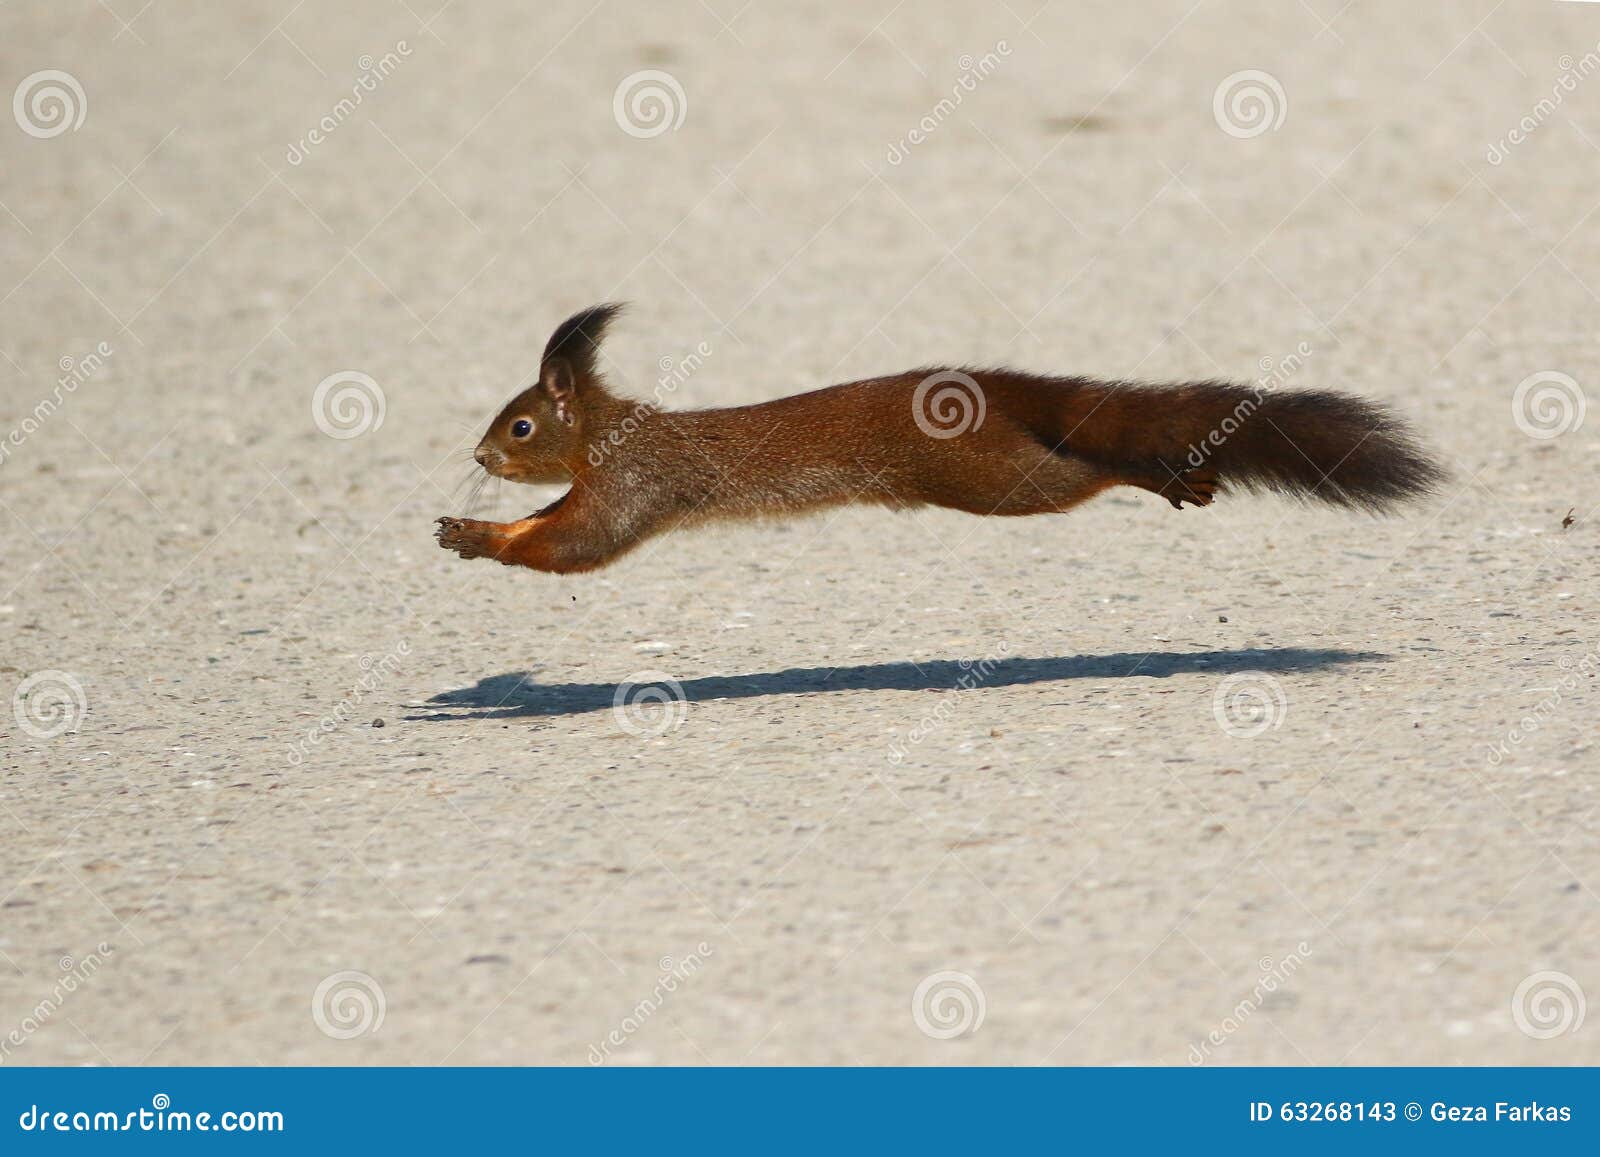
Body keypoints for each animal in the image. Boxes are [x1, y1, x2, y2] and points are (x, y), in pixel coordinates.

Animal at [436, 304, 1444, 574]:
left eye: (520, 423)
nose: (480, 459)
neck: (604, 435)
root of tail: (992, 390)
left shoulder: (633, 483)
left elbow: (578, 544)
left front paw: (479, 535)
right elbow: (557, 531)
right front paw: (470, 530)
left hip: (986, 474)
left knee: (1079, 471)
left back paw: (1161, 476)